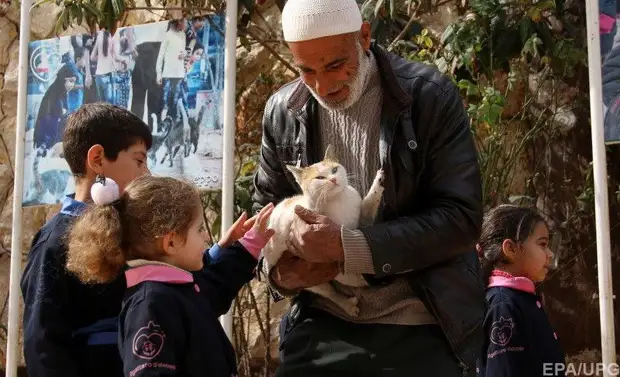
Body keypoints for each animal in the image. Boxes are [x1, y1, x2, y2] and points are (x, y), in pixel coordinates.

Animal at [260, 145, 382, 316]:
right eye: (319, 178)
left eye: (335, 169)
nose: (333, 180)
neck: (338, 201)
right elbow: (343, 271)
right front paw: (359, 279)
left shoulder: (360, 219)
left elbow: (368, 205)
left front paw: (378, 184)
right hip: (310, 282)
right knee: (331, 292)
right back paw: (347, 303)